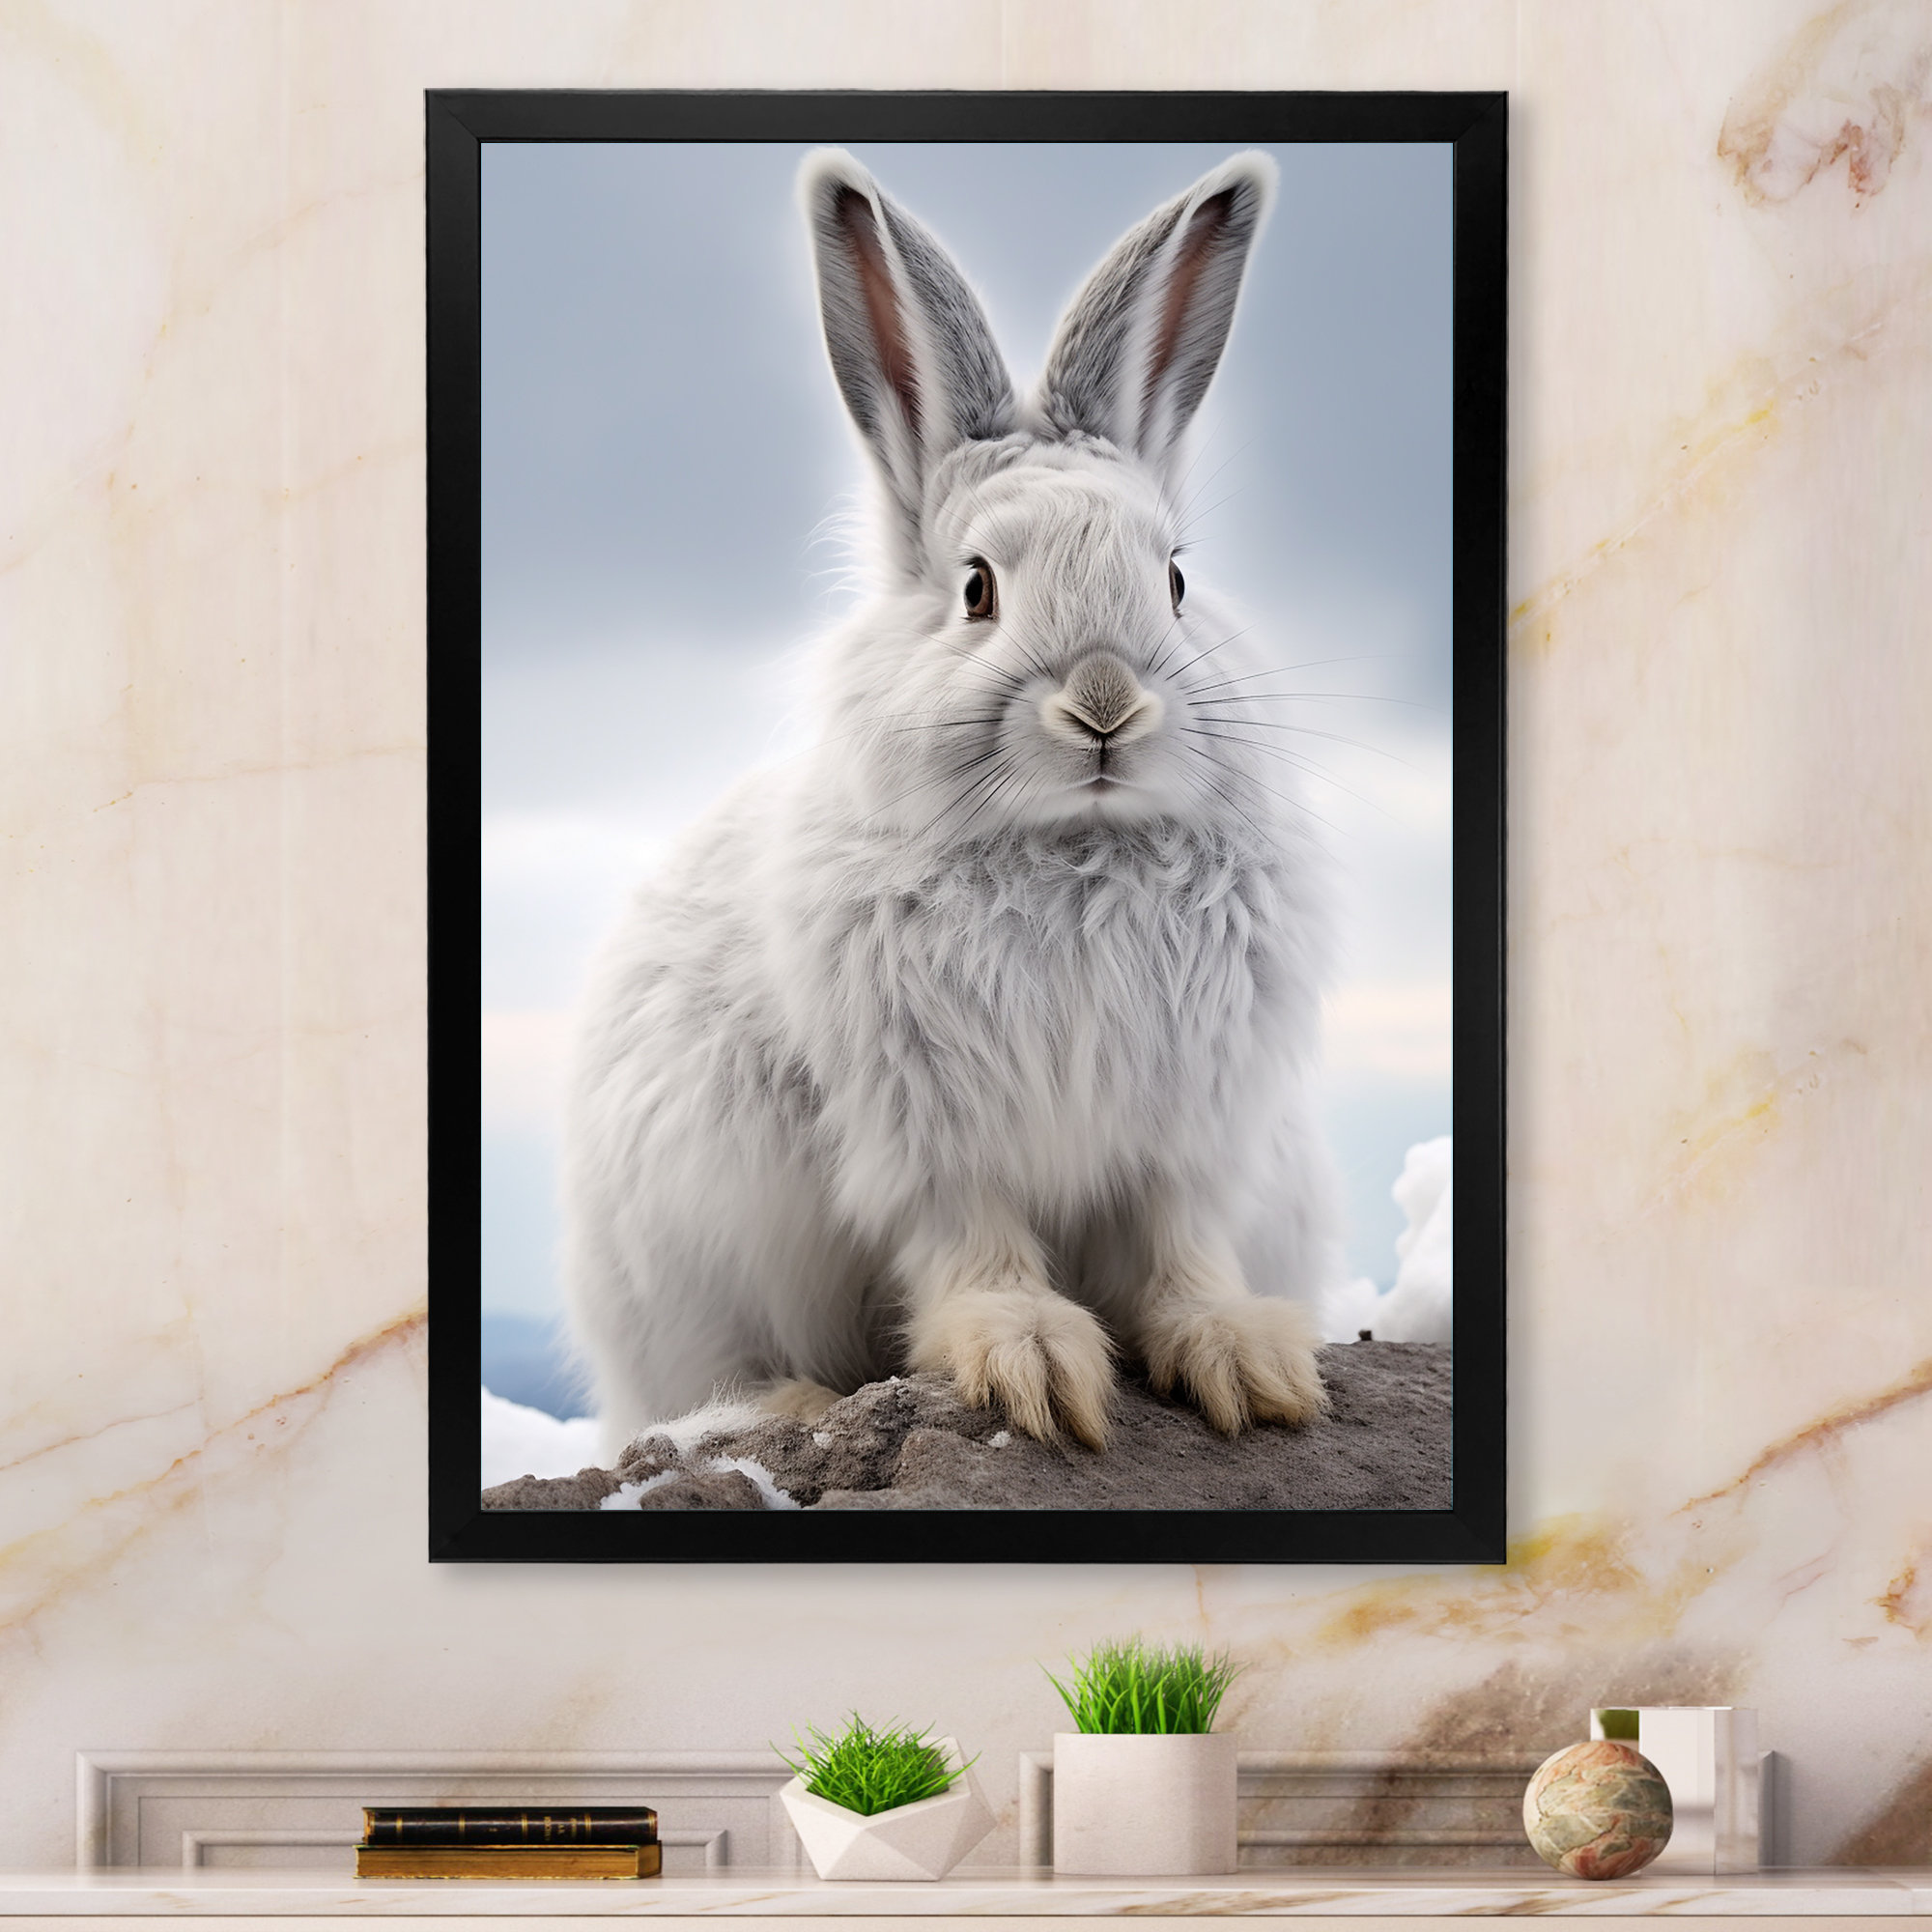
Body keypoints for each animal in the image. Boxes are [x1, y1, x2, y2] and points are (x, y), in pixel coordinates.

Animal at [562, 147, 1342, 1459]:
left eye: (1175, 580)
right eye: (977, 588)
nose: (1103, 703)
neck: (1073, 848)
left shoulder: (1185, 1134)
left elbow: (1179, 1254)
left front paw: (1246, 1360)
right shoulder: (926, 1133)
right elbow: (974, 1248)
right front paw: (1032, 1366)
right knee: (698, 1384)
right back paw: (782, 1404)